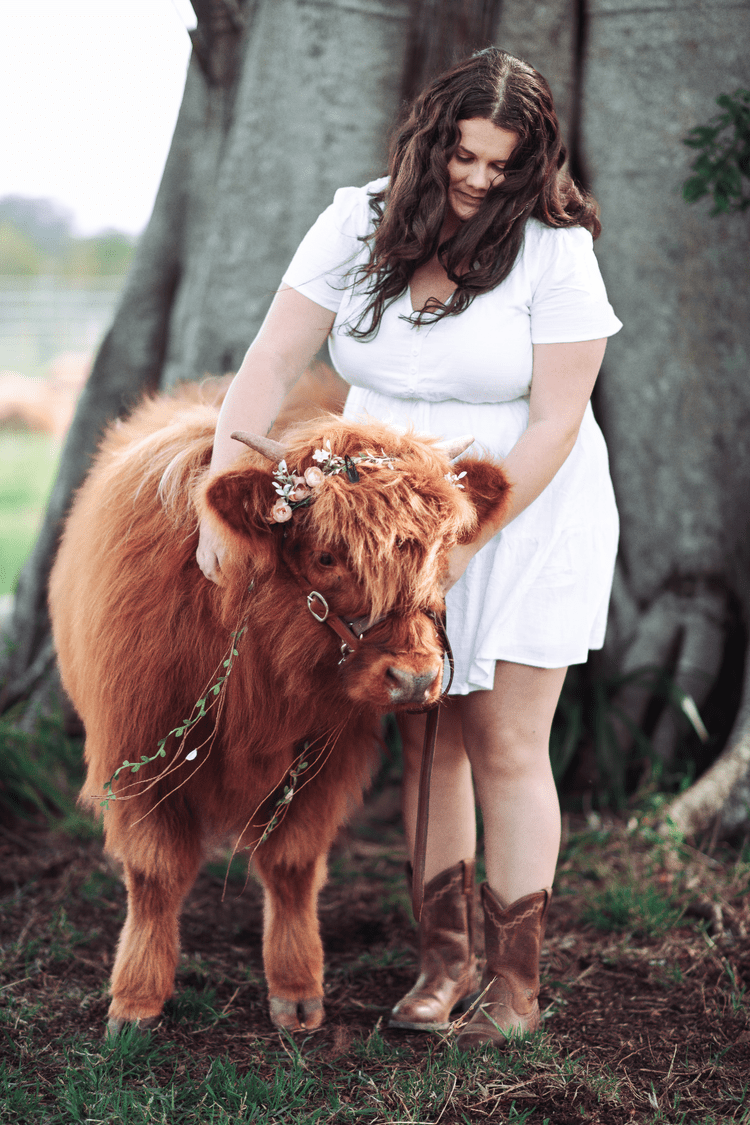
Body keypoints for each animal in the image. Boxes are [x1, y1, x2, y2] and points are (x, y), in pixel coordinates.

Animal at [48, 384, 510, 1036]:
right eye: (326, 557)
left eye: (443, 550)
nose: (416, 678)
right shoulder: (136, 752)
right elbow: (155, 875)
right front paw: (135, 1000)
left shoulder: (325, 758)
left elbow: (292, 866)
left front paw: (296, 990)